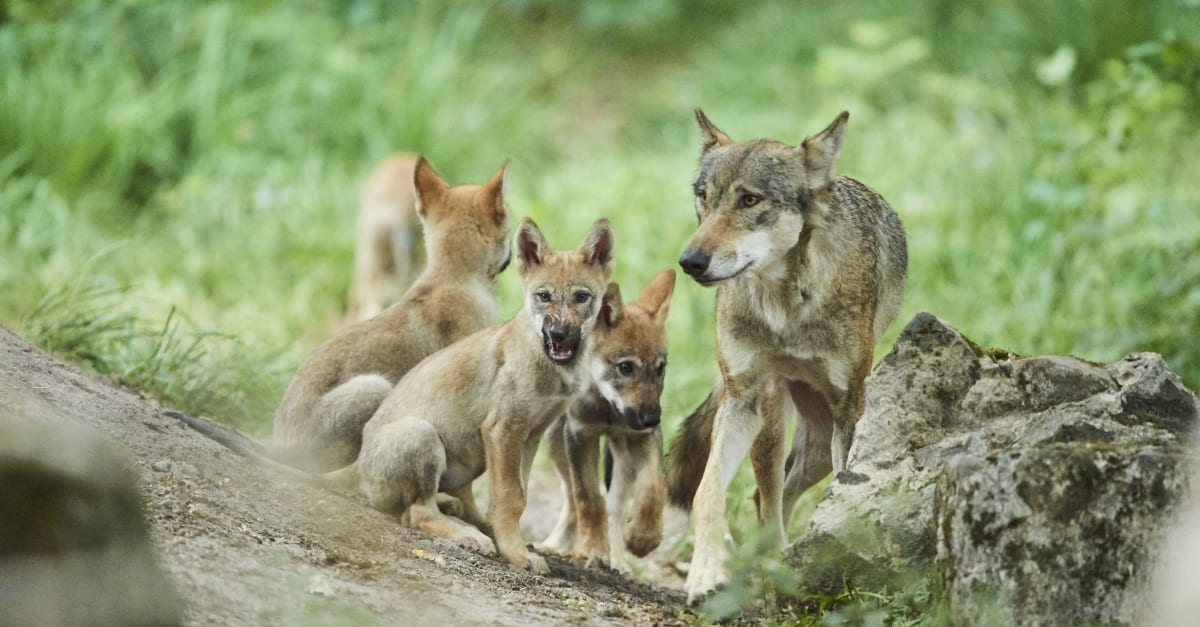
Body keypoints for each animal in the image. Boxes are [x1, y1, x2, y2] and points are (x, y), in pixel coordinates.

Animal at [334, 217, 616, 572]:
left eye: (581, 297)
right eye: (543, 296)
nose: (559, 333)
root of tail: (358, 463)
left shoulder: (530, 435)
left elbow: (517, 496)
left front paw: (511, 542)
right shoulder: (503, 429)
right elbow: (511, 497)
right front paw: (516, 553)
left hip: (466, 461)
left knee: (450, 503)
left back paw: (476, 524)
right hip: (423, 434)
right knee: (417, 513)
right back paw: (471, 534)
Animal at [538, 268, 676, 570]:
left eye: (660, 369)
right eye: (626, 367)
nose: (653, 417)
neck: (607, 411)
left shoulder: (642, 438)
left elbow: (653, 489)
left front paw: (642, 538)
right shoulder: (579, 436)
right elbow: (589, 499)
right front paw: (592, 549)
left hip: (622, 457)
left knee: (617, 505)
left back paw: (618, 561)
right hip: (558, 445)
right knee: (573, 498)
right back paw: (558, 546)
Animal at [668, 110, 908, 602]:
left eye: (749, 199)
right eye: (704, 197)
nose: (690, 261)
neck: (785, 306)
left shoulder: (848, 409)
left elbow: (841, 501)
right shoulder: (742, 400)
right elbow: (707, 494)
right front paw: (704, 573)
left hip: (822, 440)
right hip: (770, 422)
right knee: (767, 498)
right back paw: (773, 565)